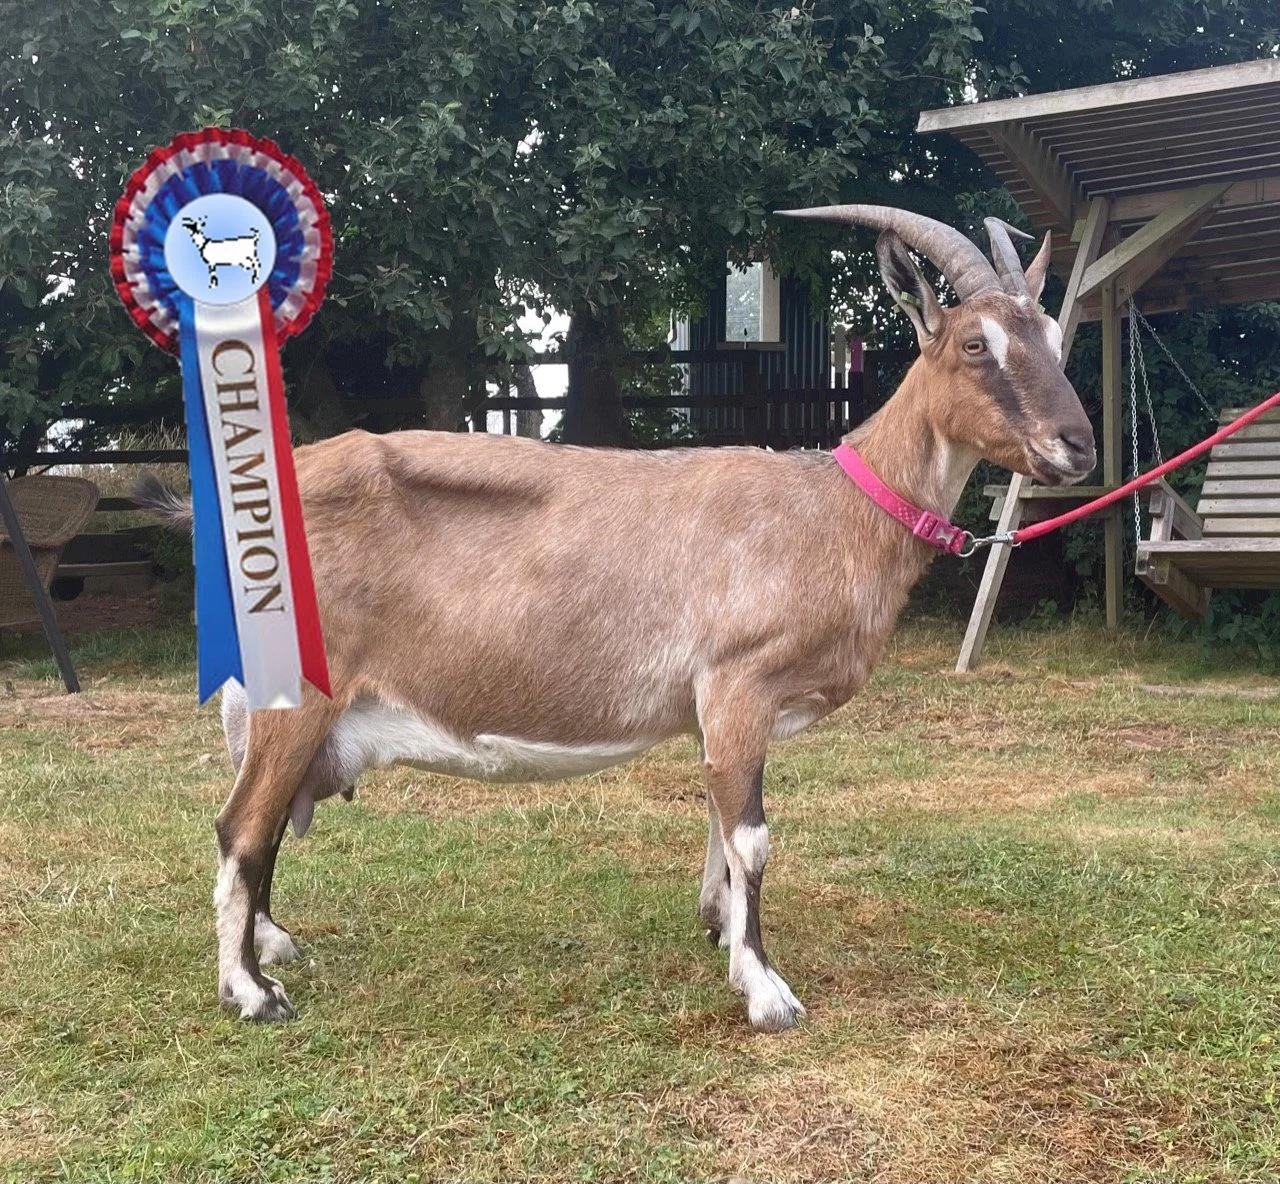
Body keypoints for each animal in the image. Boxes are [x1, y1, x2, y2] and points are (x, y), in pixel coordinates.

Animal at [138, 207, 1094, 1029]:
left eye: (1054, 338)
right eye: (974, 343)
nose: (1077, 445)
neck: (832, 511)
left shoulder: (718, 707)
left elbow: (718, 821)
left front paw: (721, 935)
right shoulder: (741, 680)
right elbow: (753, 840)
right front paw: (768, 992)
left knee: (259, 827)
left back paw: (274, 947)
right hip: (299, 690)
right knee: (241, 828)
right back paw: (251, 994)